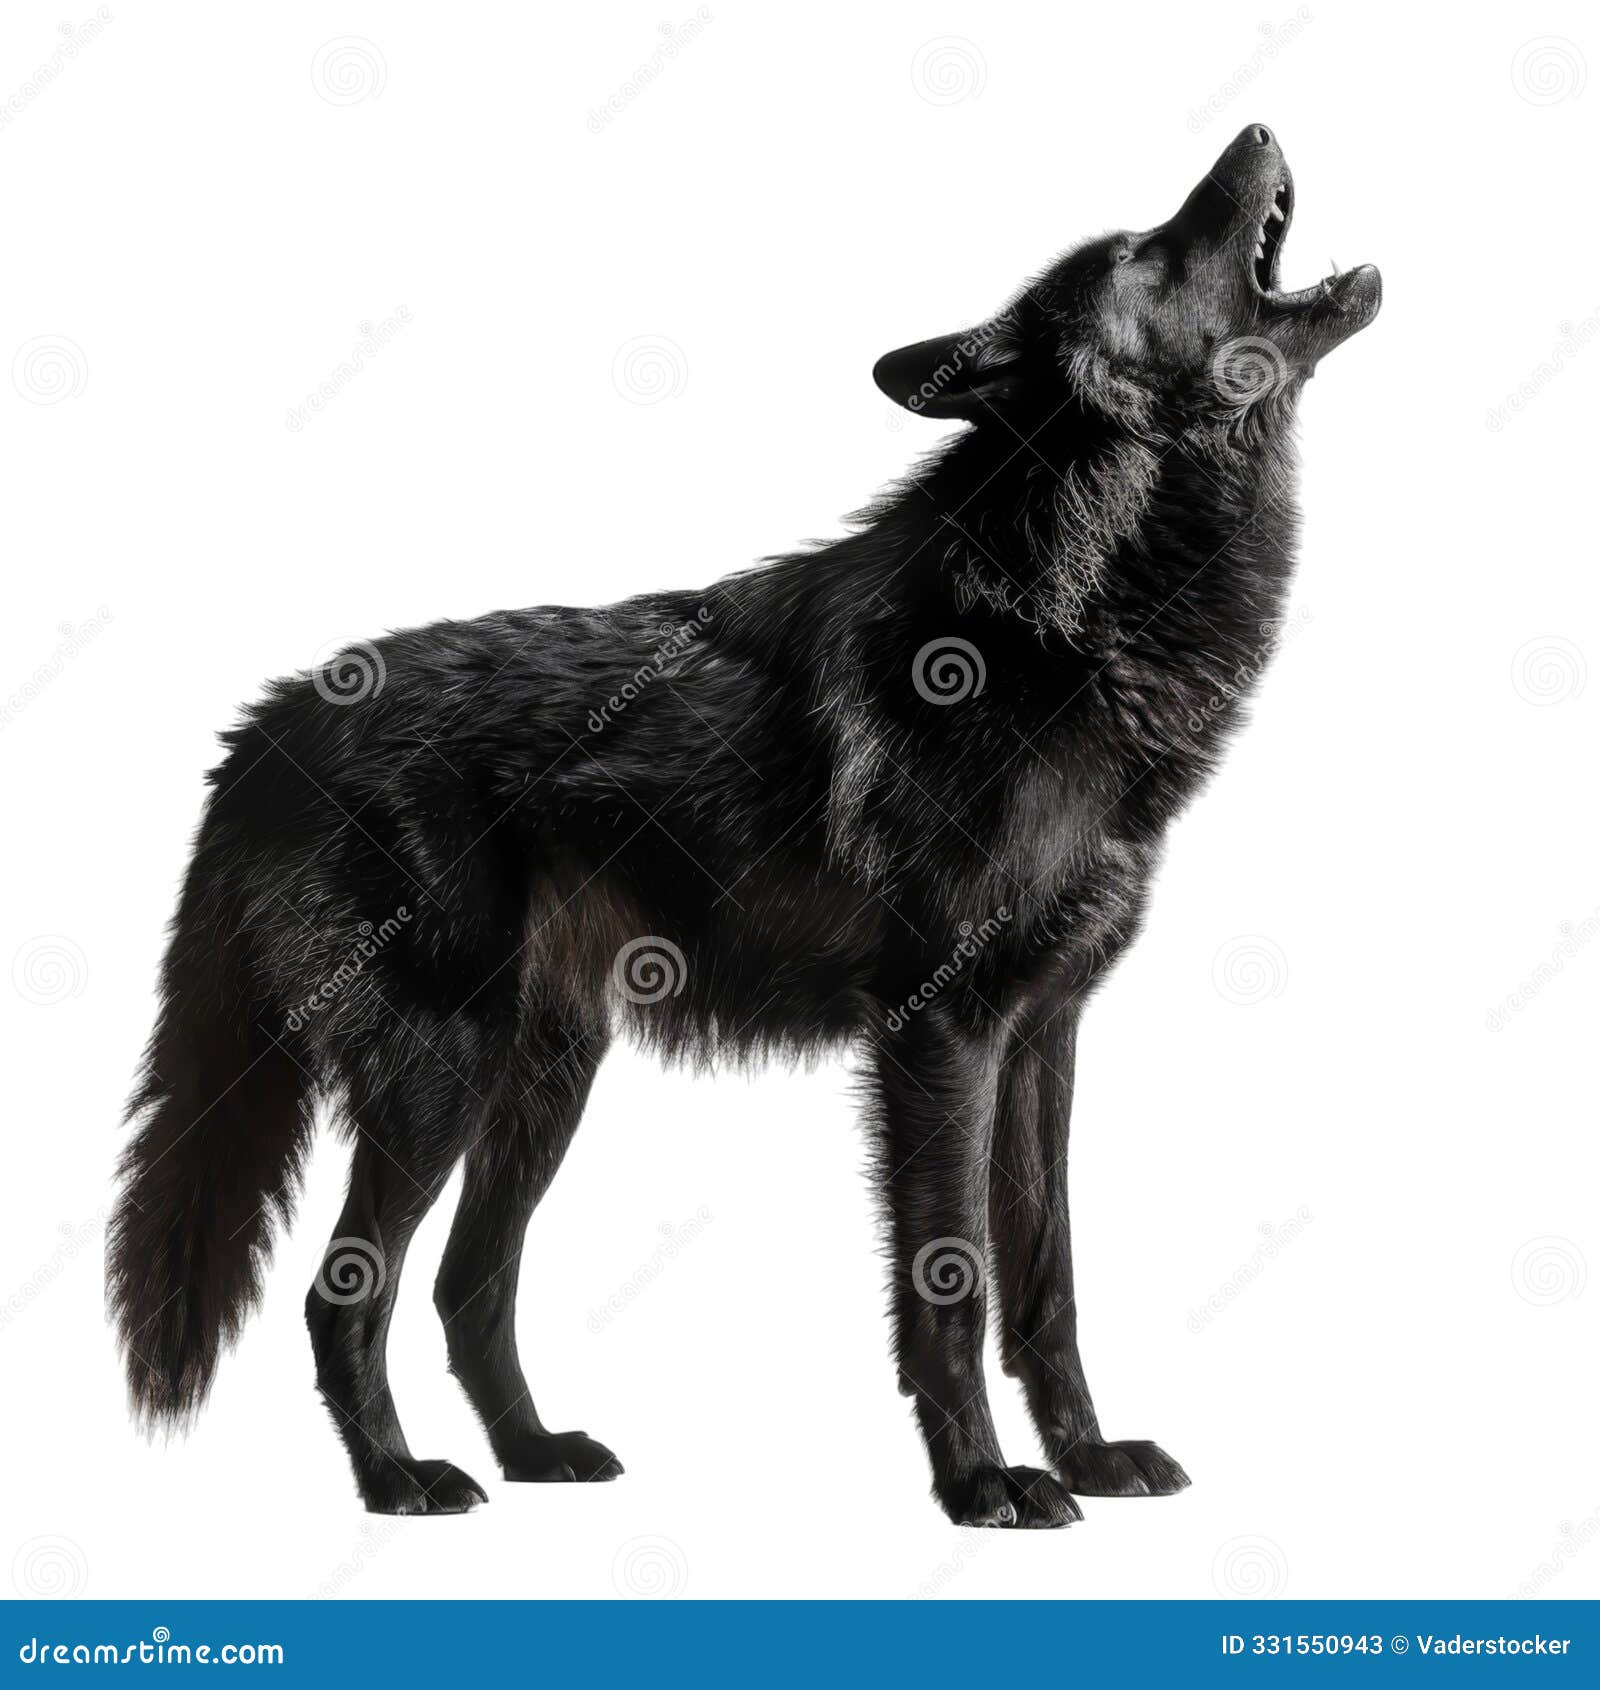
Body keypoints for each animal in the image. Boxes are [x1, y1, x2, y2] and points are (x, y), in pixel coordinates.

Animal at [108, 125, 1378, 1525]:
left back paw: (535, 1454)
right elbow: (951, 1281)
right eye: (1143, 253)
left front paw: (1090, 1459)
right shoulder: (941, 1033)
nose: (1254, 133)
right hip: (441, 1076)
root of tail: (272, 720)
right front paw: (984, 1483)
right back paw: (401, 1479)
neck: (1065, 624)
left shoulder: (1043, 1033)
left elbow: (1048, 1285)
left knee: (464, 1285)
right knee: (347, 1294)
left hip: (541, 1082)